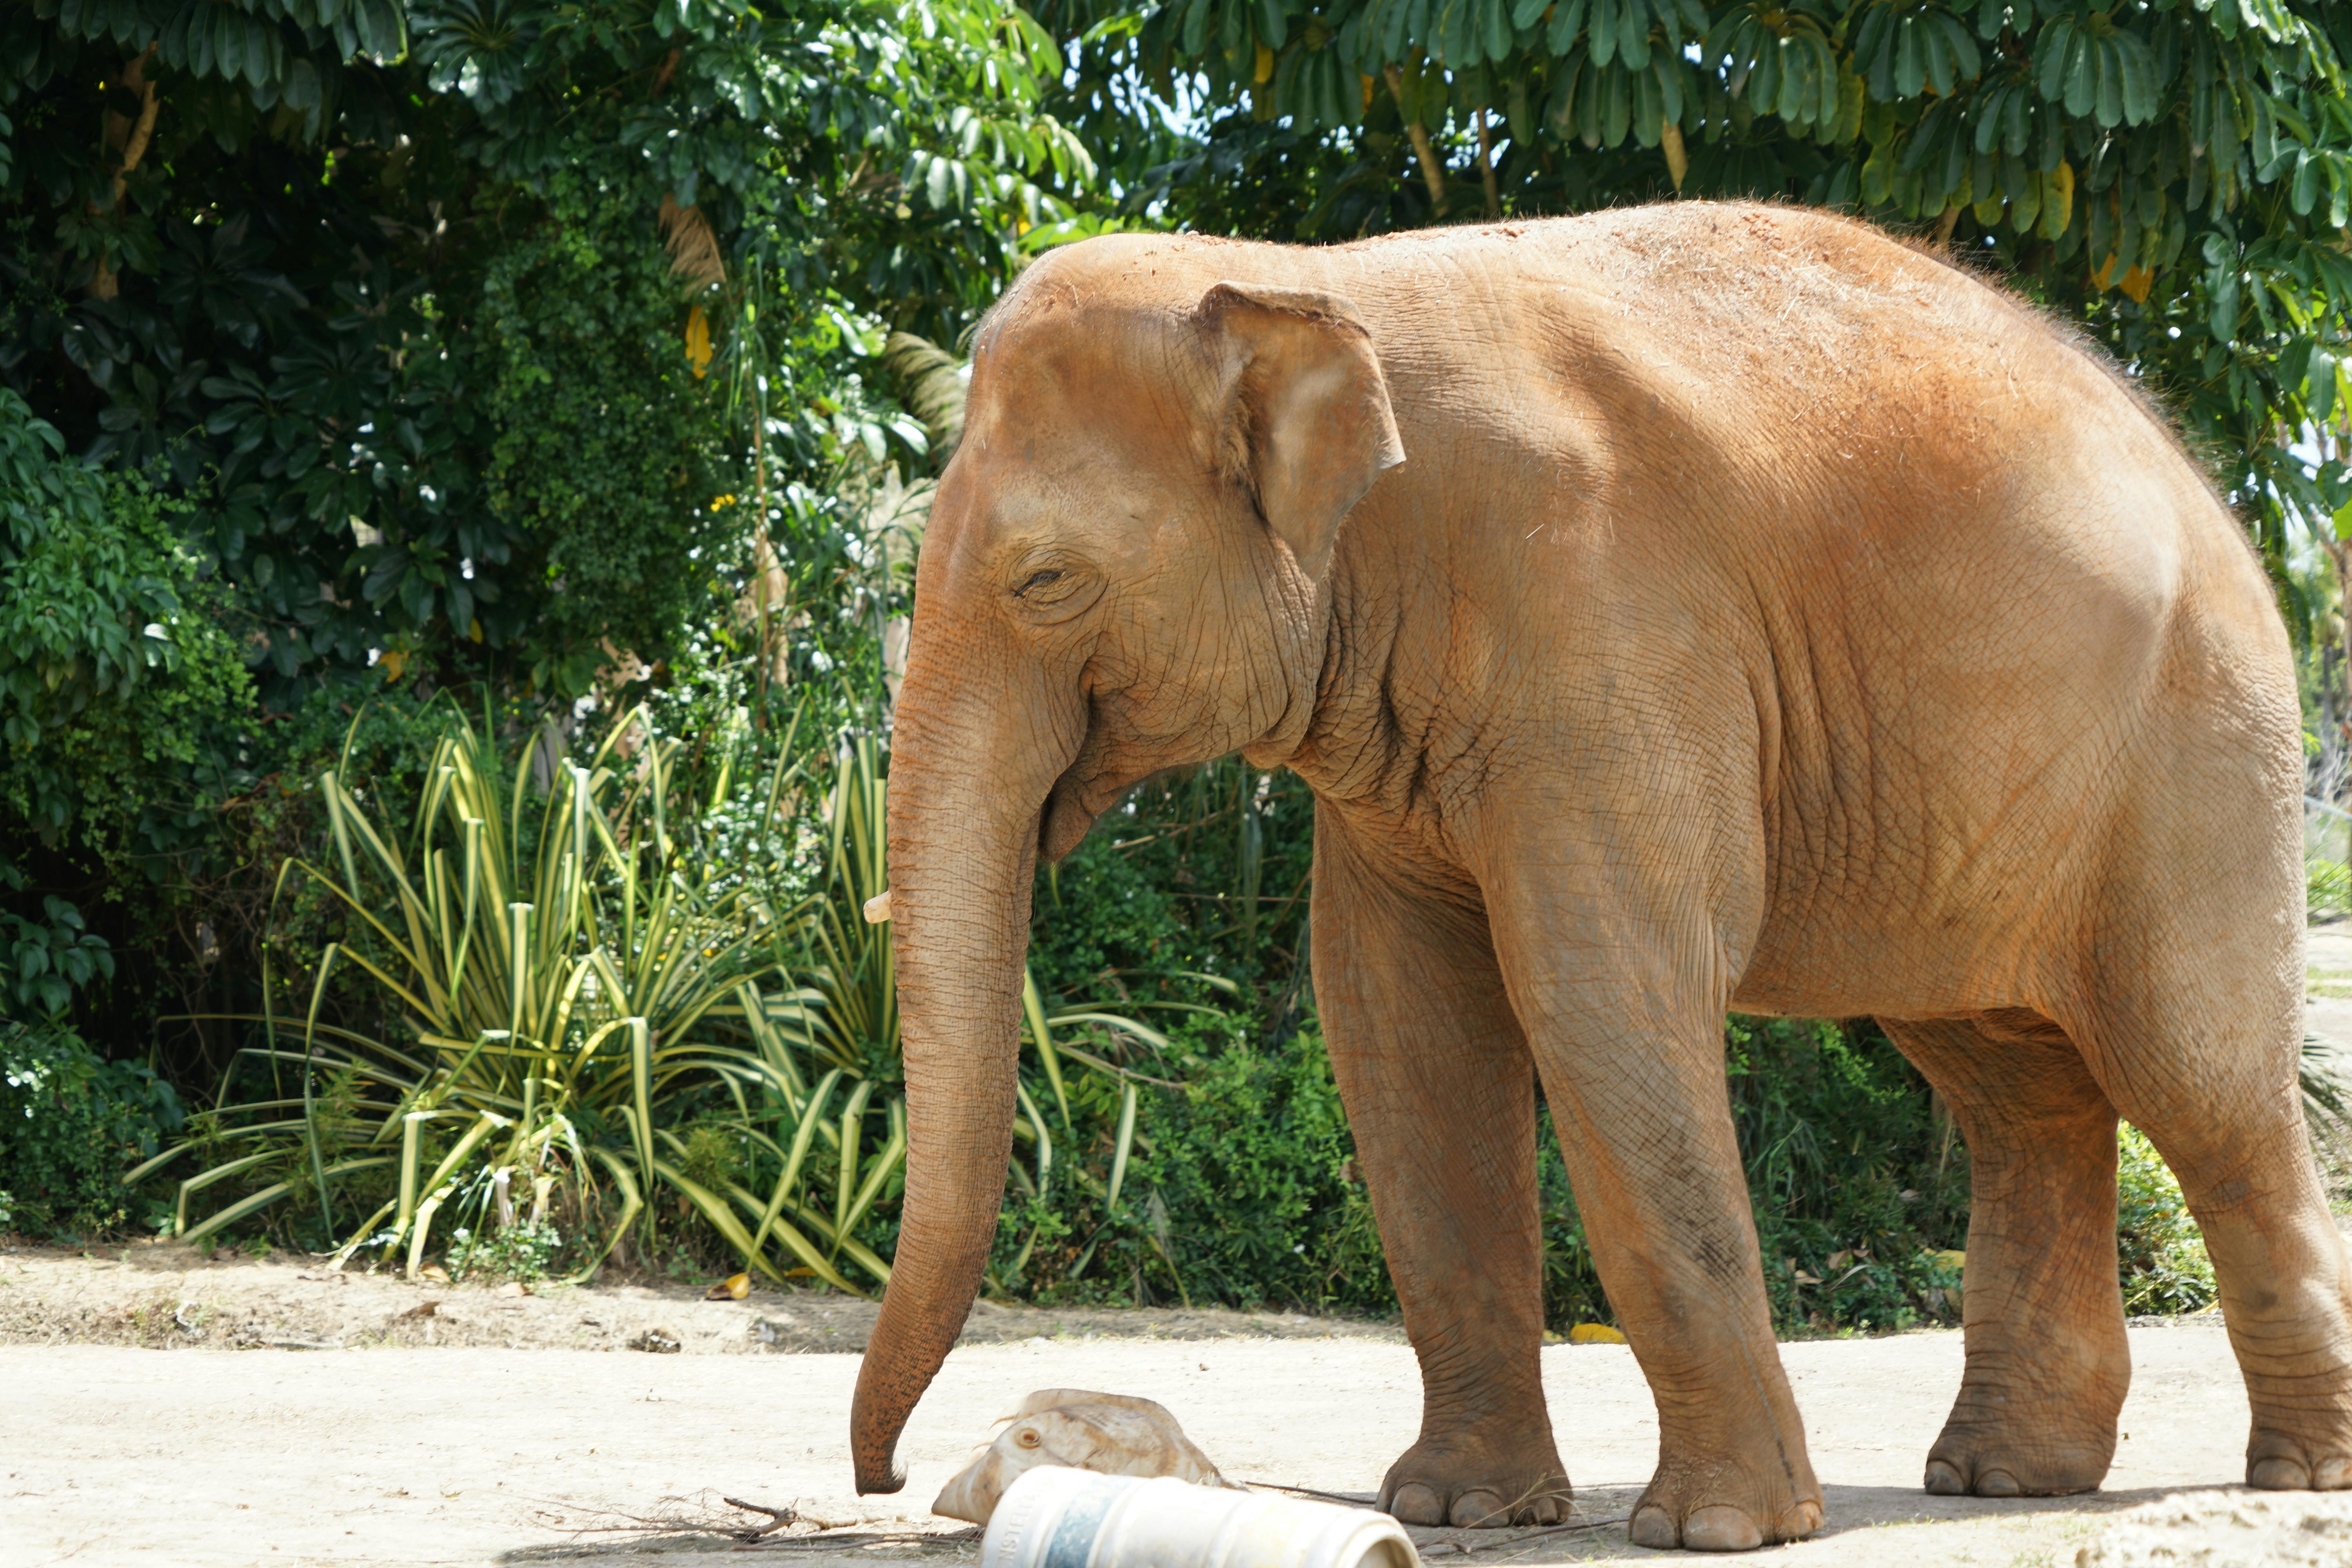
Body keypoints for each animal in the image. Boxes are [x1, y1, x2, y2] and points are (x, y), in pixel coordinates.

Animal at [845, 200, 2347, 1552]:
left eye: (1045, 581)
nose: (884, 1480)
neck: (1304, 283)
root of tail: (2208, 485)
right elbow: (1399, 1031)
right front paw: (1457, 1511)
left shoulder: (1603, 626)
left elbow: (1600, 999)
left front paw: (1720, 1531)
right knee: (2014, 1086)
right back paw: (2004, 1480)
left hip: (2200, 755)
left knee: (2200, 1084)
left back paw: (2298, 1475)